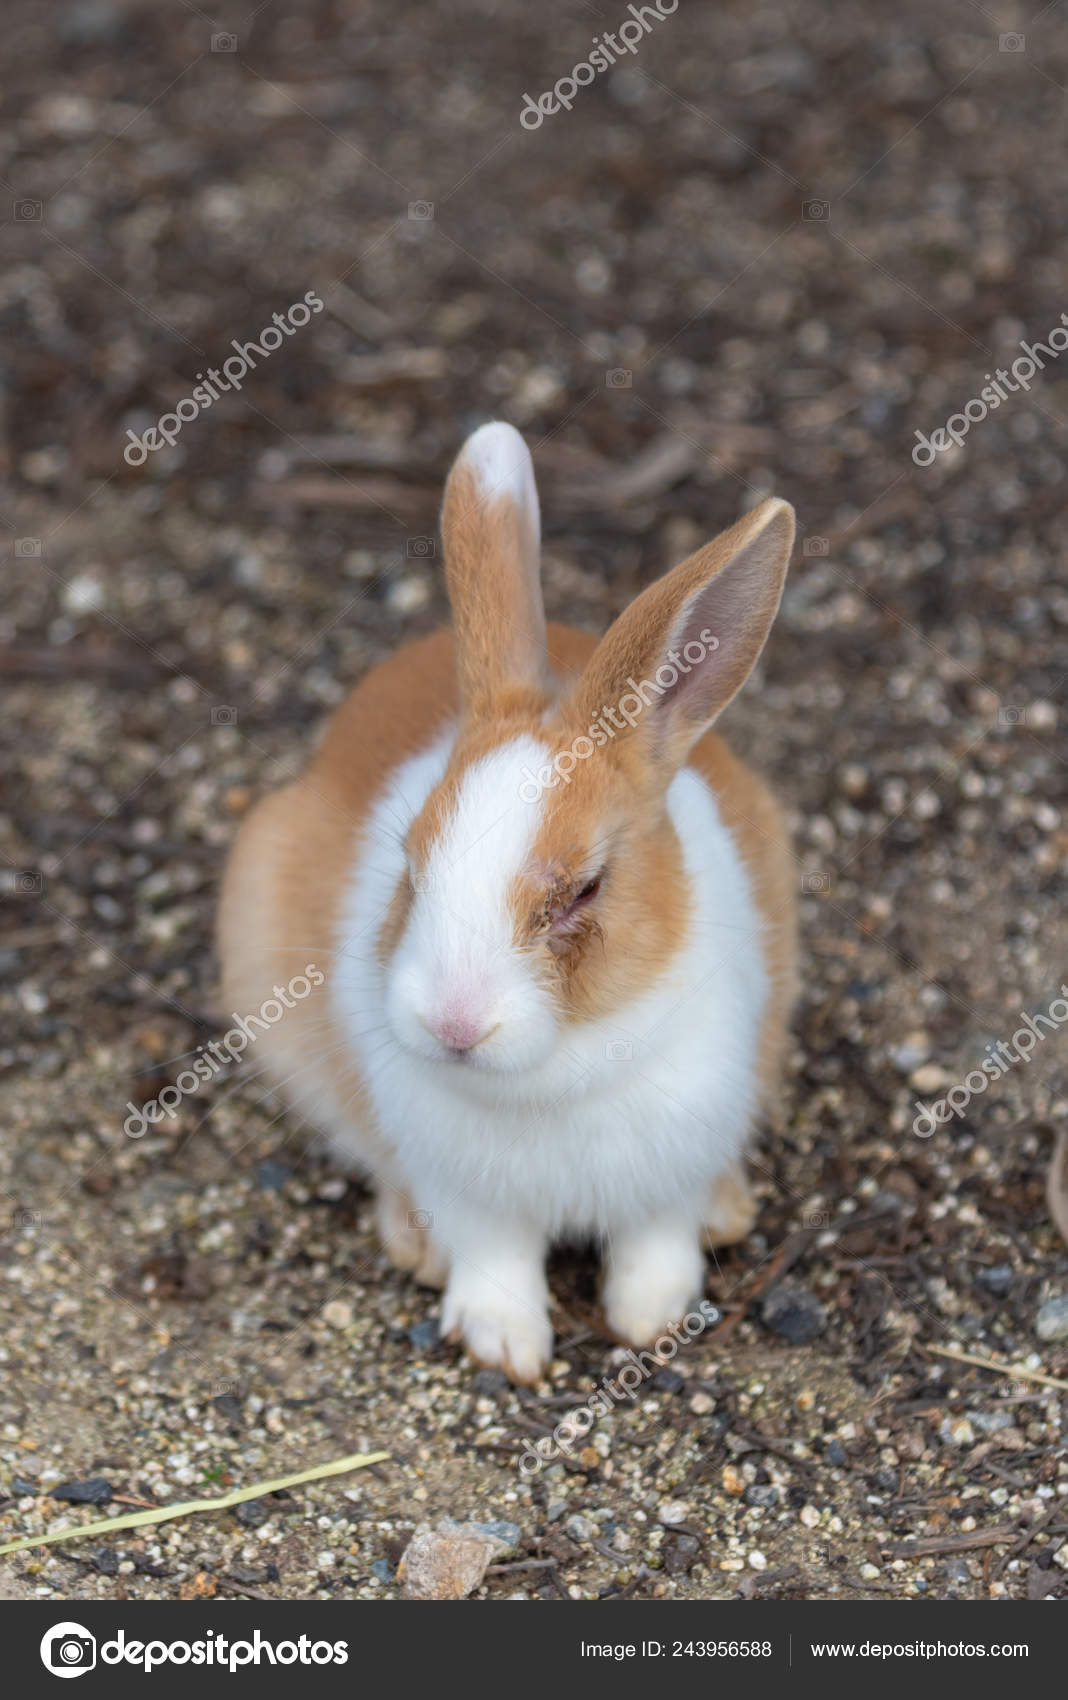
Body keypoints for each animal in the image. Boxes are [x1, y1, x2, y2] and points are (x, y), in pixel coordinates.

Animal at [218, 421, 798, 1383]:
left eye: (586, 889)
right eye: (410, 864)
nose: (454, 1025)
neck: (550, 1077)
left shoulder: (671, 1167)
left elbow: (656, 1244)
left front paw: (651, 1321)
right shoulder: (464, 1190)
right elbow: (495, 1260)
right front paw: (505, 1348)